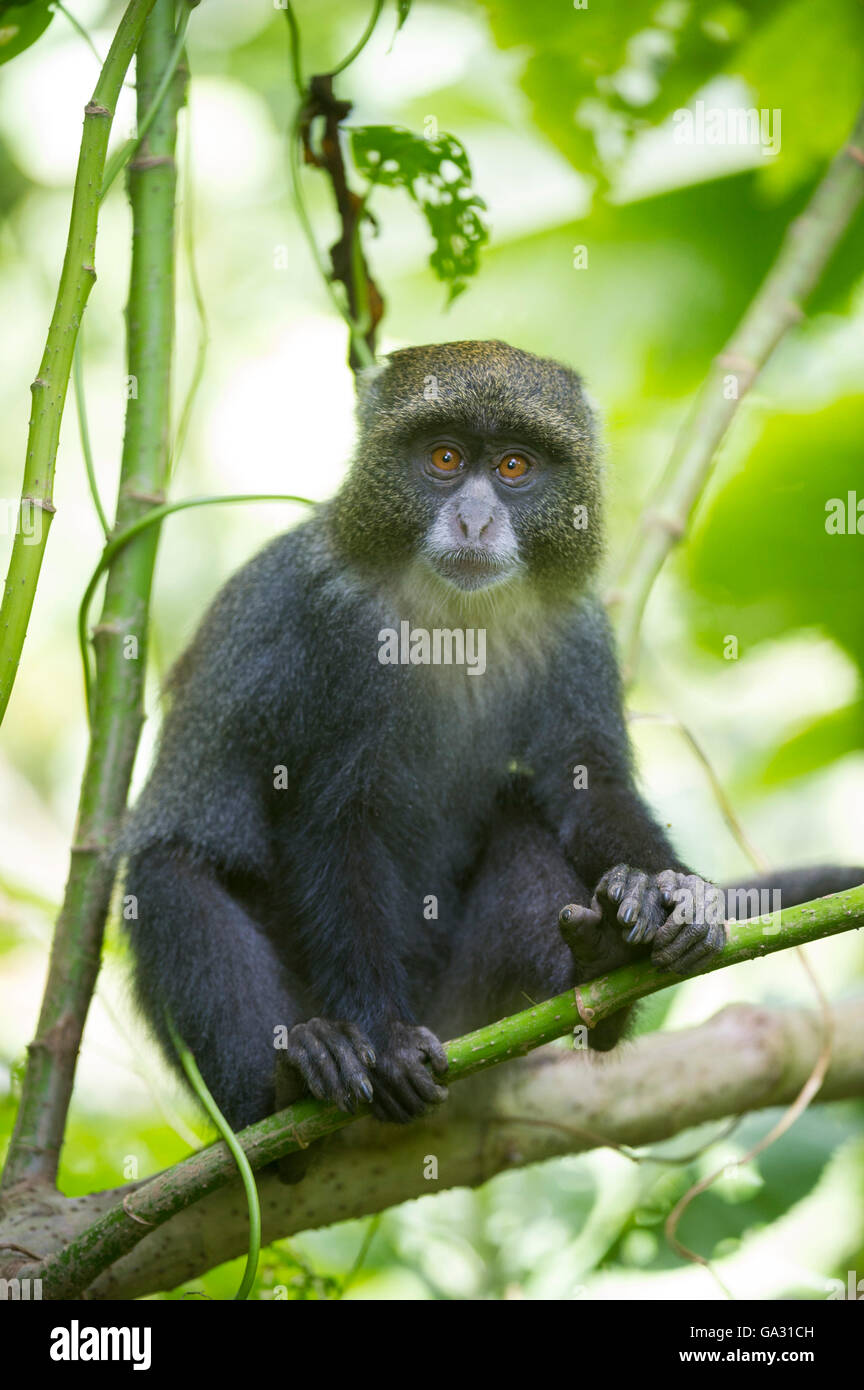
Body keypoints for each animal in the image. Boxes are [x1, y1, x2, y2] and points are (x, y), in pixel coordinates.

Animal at [119, 340, 863, 1133]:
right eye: (444, 457)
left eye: (513, 467)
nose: (475, 521)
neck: (455, 621)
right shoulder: (329, 625)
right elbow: (337, 823)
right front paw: (380, 1037)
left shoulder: (575, 630)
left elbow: (588, 785)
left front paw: (669, 889)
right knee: (169, 880)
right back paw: (289, 1083)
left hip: (471, 1006)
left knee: (518, 816)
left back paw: (598, 979)